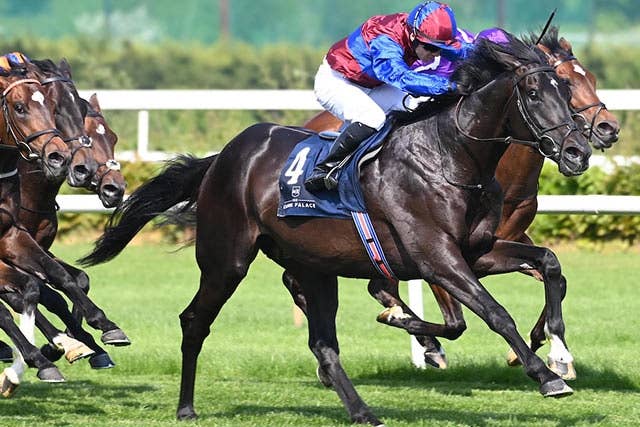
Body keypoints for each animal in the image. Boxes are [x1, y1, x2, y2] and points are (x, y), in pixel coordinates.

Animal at [82, 34, 592, 424]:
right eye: (533, 93)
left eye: (565, 90)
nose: (578, 151)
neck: (450, 155)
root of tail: (225, 155)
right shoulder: (438, 258)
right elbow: (493, 314)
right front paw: (546, 377)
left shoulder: (476, 252)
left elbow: (547, 264)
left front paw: (558, 350)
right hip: (227, 259)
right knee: (195, 321)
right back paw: (186, 408)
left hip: (315, 267)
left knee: (322, 342)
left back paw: (362, 409)